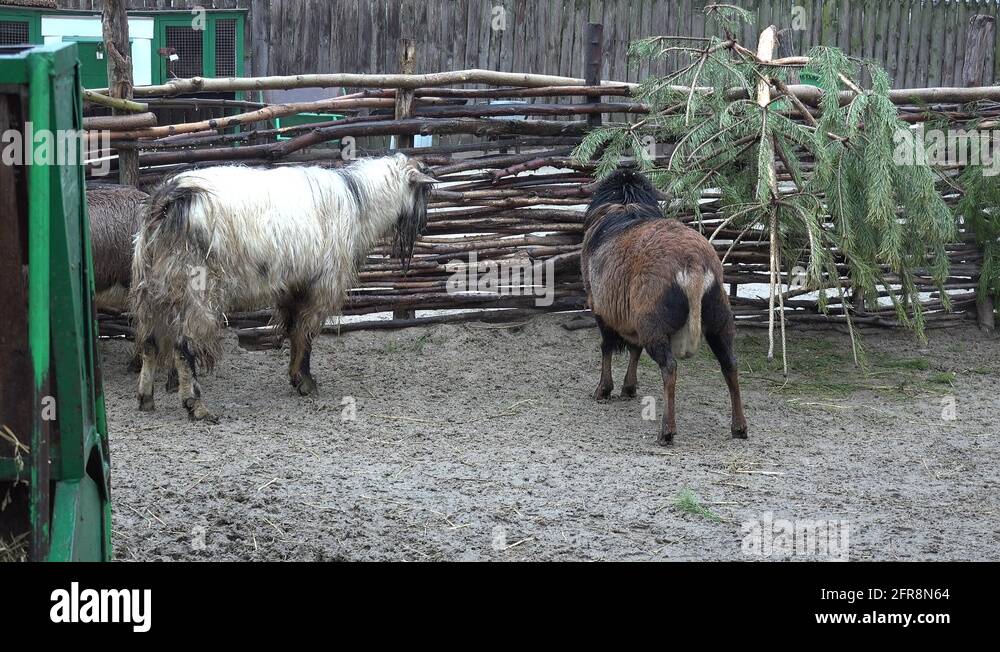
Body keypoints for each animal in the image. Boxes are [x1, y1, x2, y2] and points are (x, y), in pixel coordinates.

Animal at [130, 154, 435, 422]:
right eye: (425, 190)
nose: (423, 227)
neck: (359, 203)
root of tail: (168, 199)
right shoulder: (320, 285)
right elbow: (306, 333)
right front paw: (306, 382)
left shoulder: (293, 286)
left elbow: (293, 330)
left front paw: (295, 376)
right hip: (196, 288)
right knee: (185, 346)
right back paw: (196, 405)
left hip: (152, 288)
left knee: (149, 343)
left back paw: (146, 398)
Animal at [581, 169, 747, 445]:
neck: (627, 206)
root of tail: (693, 262)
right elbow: (634, 349)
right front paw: (628, 387)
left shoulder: (599, 307)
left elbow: (607, 347)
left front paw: (604, 389)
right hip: (718, 318)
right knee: (730, 364)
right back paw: (739, 427)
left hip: (653, 322)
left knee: (669, 368)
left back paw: (666, 431)